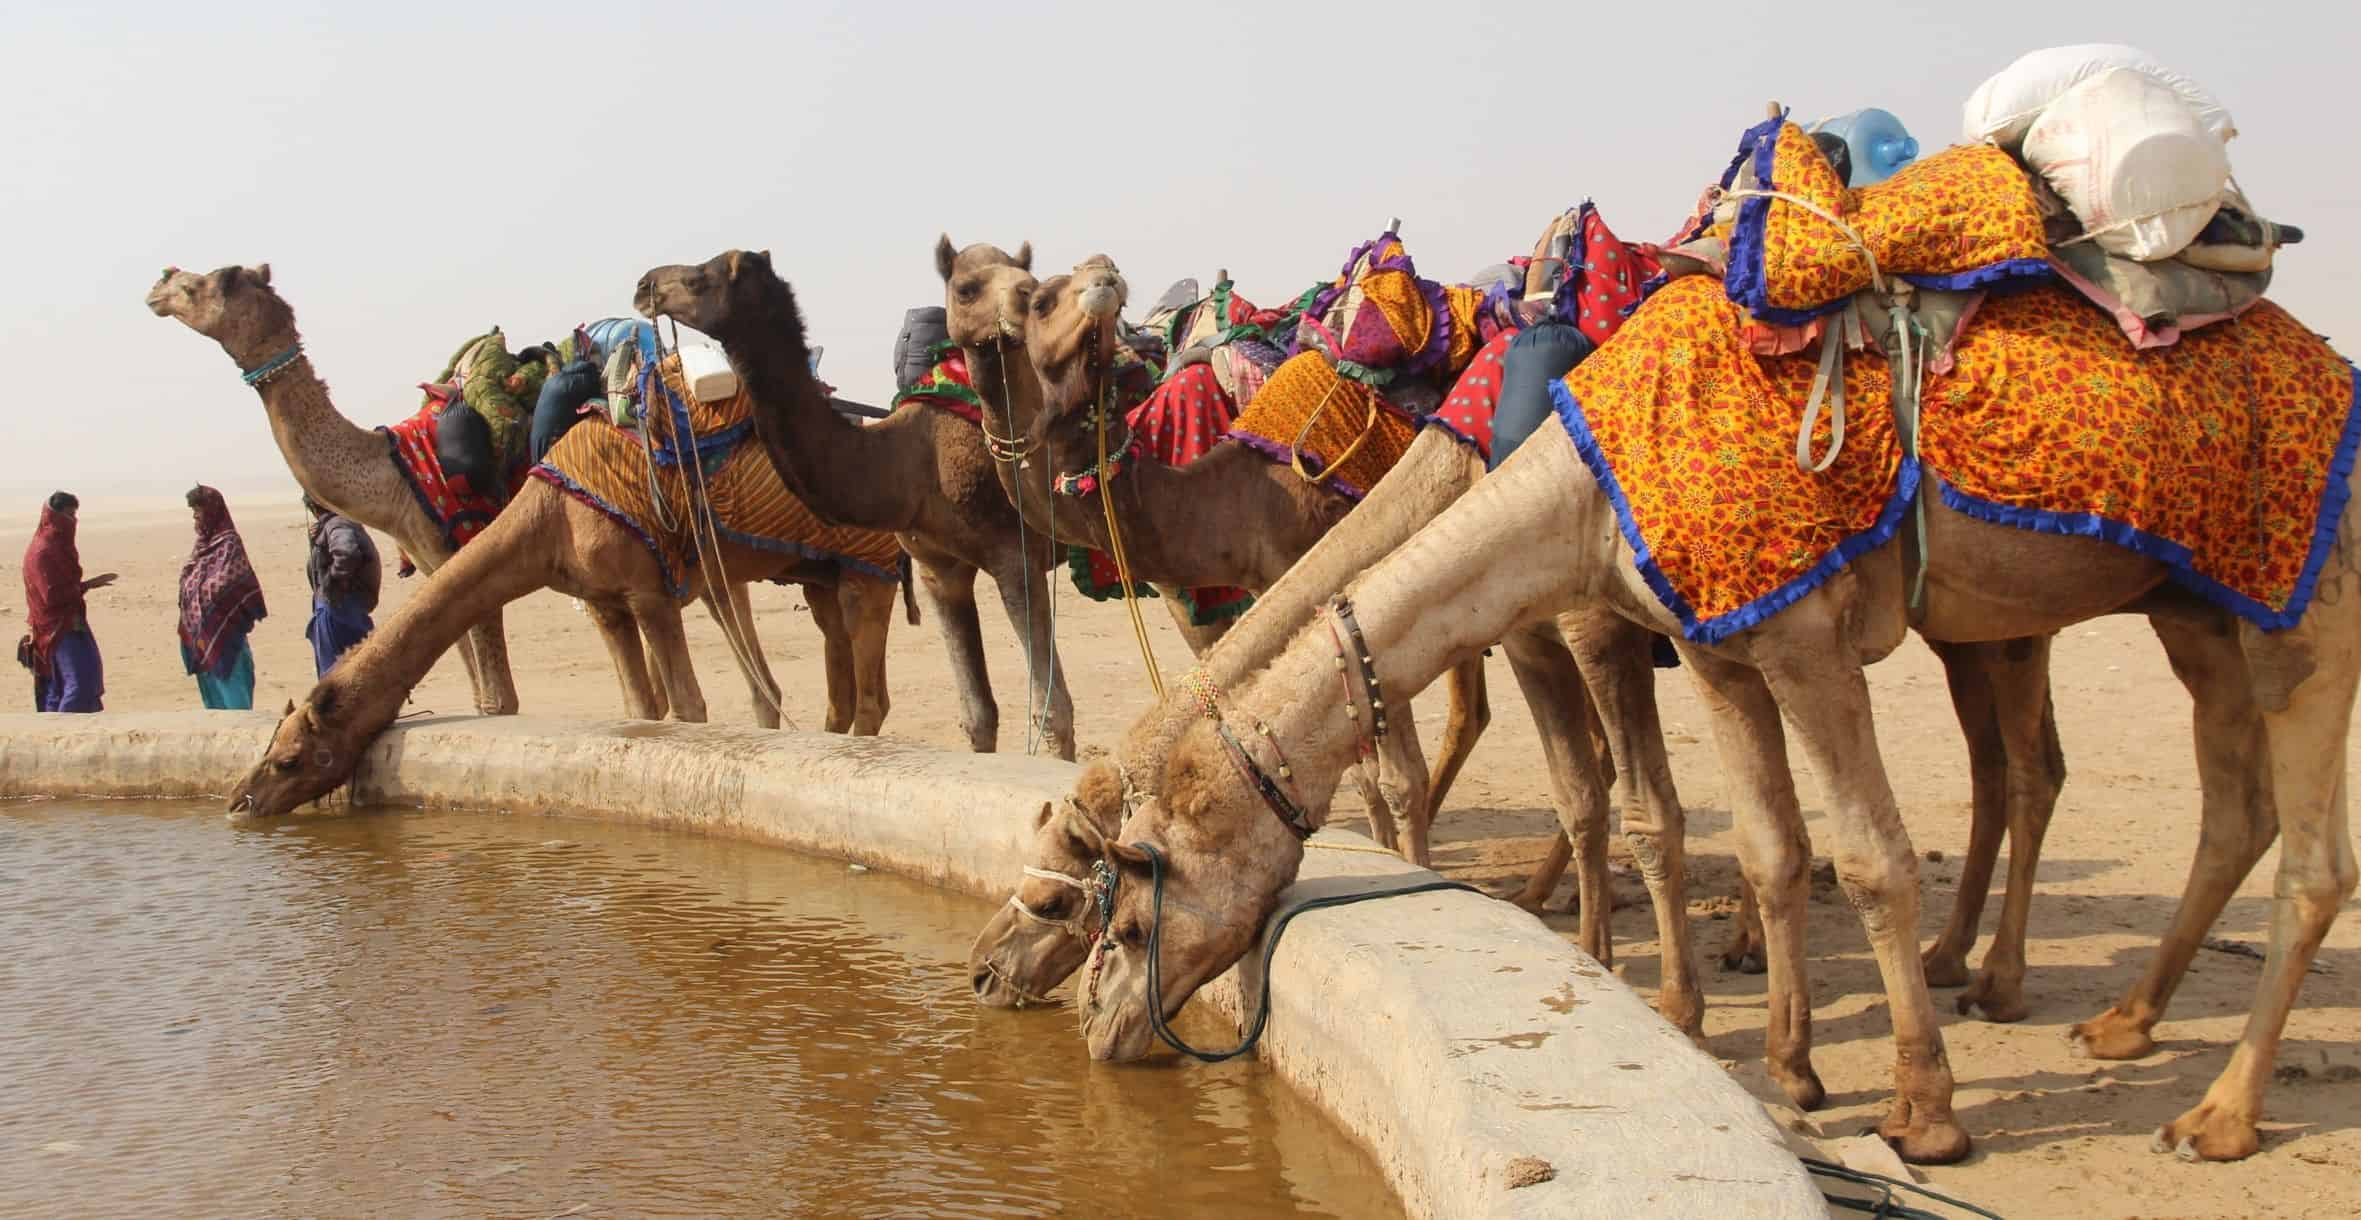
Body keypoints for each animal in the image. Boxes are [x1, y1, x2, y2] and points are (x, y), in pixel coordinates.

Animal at [148, 264, 901, 732]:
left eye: (207, 282)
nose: (158, 285)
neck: (389, 475)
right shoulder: (439, 559)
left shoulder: (454, 543)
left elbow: (500, 701)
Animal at [634, 247, 1081, 759]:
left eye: (699, 279)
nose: (645, 285)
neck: (911, 462)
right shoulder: (938, 570)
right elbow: (978, 715)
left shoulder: (1014, 556)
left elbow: (1053, 711)